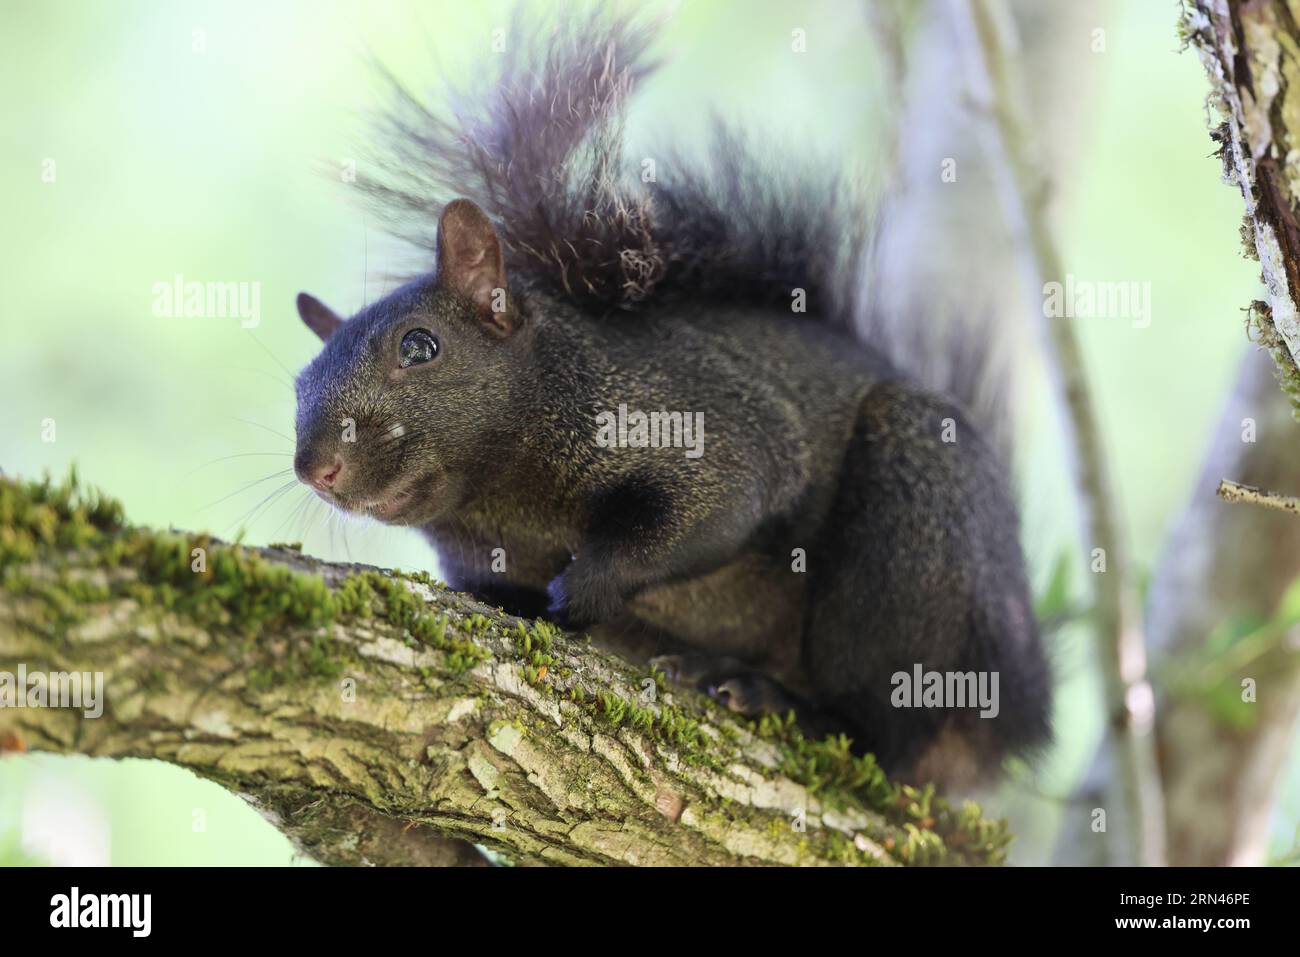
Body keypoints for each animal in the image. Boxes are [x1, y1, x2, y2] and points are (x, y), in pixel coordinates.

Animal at [289, 12, 1051, 790]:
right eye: (298, 384)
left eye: (420, 346)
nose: (316, 468)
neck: (503, 502)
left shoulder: (693, 418)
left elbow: (721, 503)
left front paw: (585, 587)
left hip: (921, 506)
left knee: (888, 738)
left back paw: (776, 698)